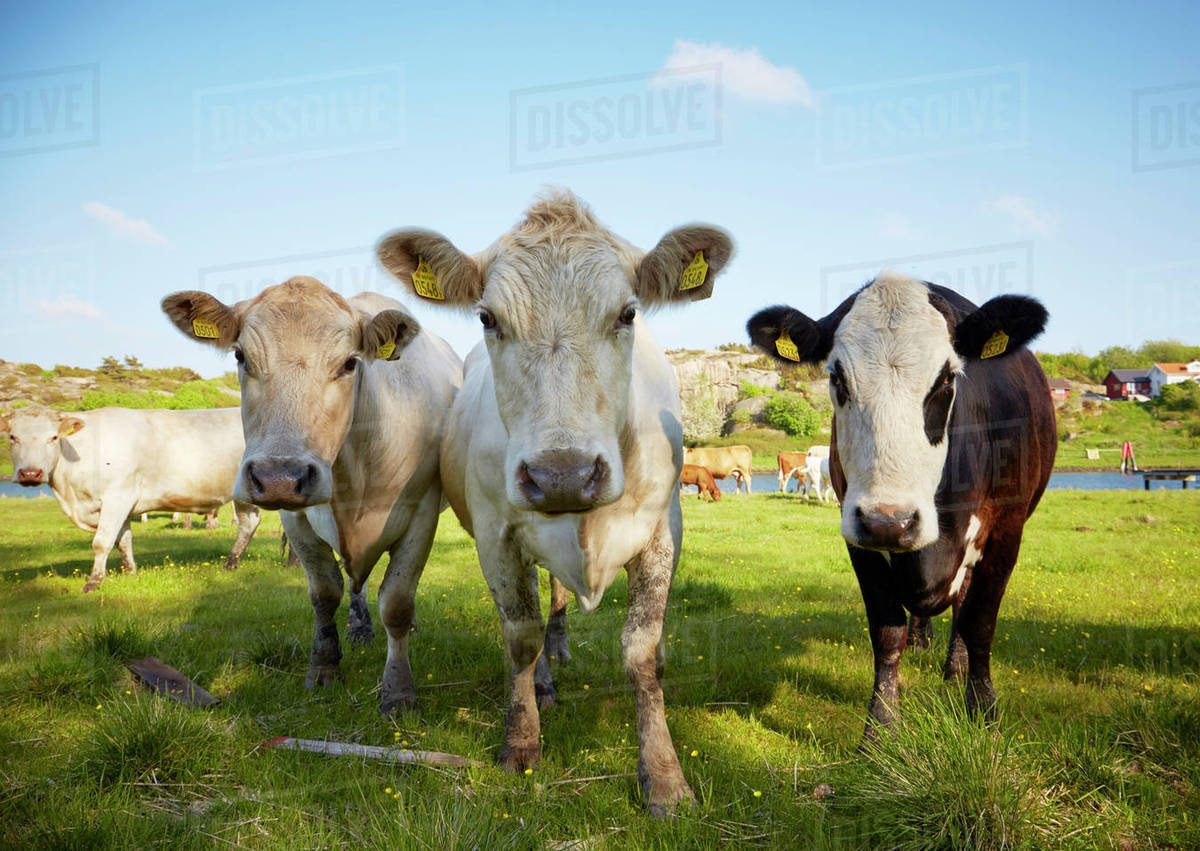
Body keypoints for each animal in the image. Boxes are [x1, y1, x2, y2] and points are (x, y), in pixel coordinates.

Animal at [1, 406, 261, 593]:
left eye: (53, 437)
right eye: (12, 437)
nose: (30, 473)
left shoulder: (117, 496)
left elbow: (101, 542)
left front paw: (94, 582)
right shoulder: (122, 504)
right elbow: (123, 541)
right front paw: (130, 572)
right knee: (249, 524)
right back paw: (231, 563)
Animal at [161, 278, 462, 714]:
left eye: (350, 363)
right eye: (240, 356)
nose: (279, 477)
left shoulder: (421, 513)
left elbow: (397, 602)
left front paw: (399, 692)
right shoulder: (297, 519)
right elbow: (325, 593)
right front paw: (323, 669)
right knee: (356, 585)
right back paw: (358, 628)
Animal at [376, 191, 733, 815]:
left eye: (628, 313)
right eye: (488, 317)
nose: (561, 476)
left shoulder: (663, 532)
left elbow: (643, 653)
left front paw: (665, 779)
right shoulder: (497, 536)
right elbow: (521, 637)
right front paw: (521, 744)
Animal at [748, 271, 1055, 740]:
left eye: (947, 380)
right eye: (837, 379)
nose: (890, 521)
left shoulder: (1007, 527)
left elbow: (980, 622)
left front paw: (983, 713)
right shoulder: (858, 533)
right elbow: (886, 629)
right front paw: (880, 727)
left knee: (962, 601)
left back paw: (954, 664)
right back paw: (922, 640)